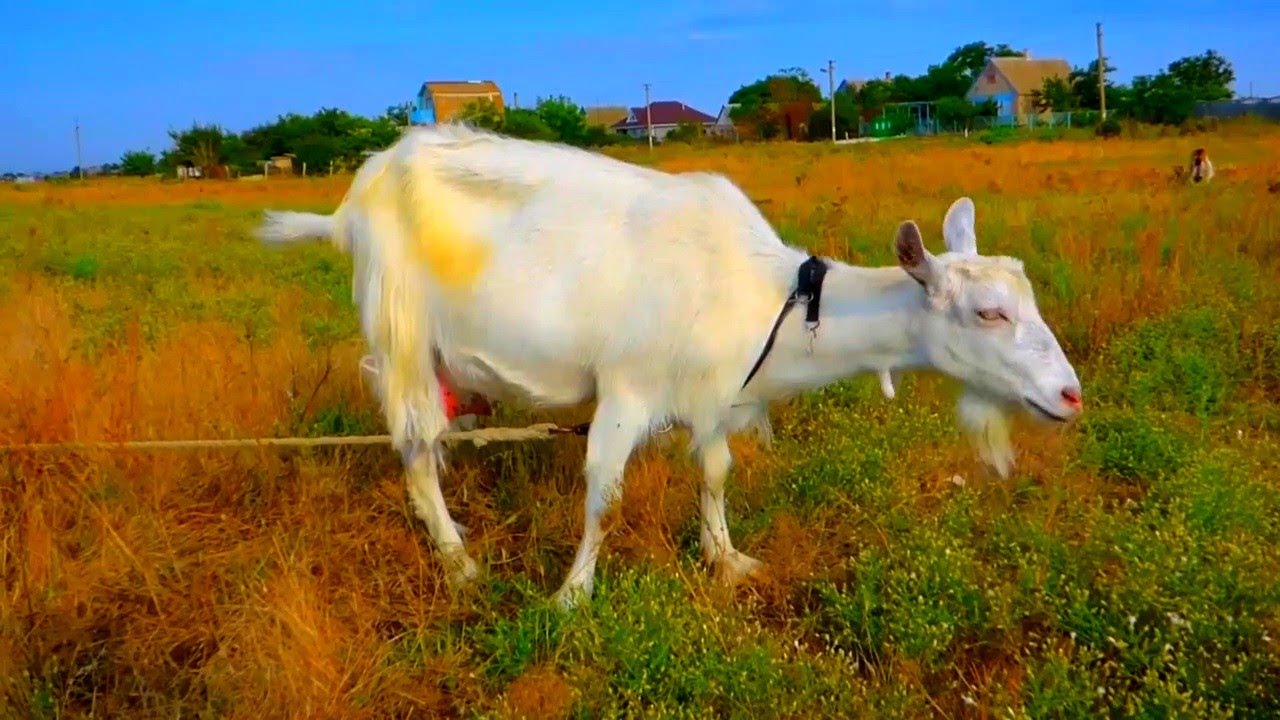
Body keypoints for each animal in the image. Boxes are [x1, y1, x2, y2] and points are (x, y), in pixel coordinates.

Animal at [254, 124, 1083, 608]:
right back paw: (458, 562)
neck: (768, 295)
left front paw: (727, 558)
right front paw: (573, 597)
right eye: (989, 313)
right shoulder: (628, 387)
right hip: (401, 334)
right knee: (417, 450)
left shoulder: (715, 391)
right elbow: (605, 495)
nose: (1070, 396)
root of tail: (352, 203)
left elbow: (715, 475)